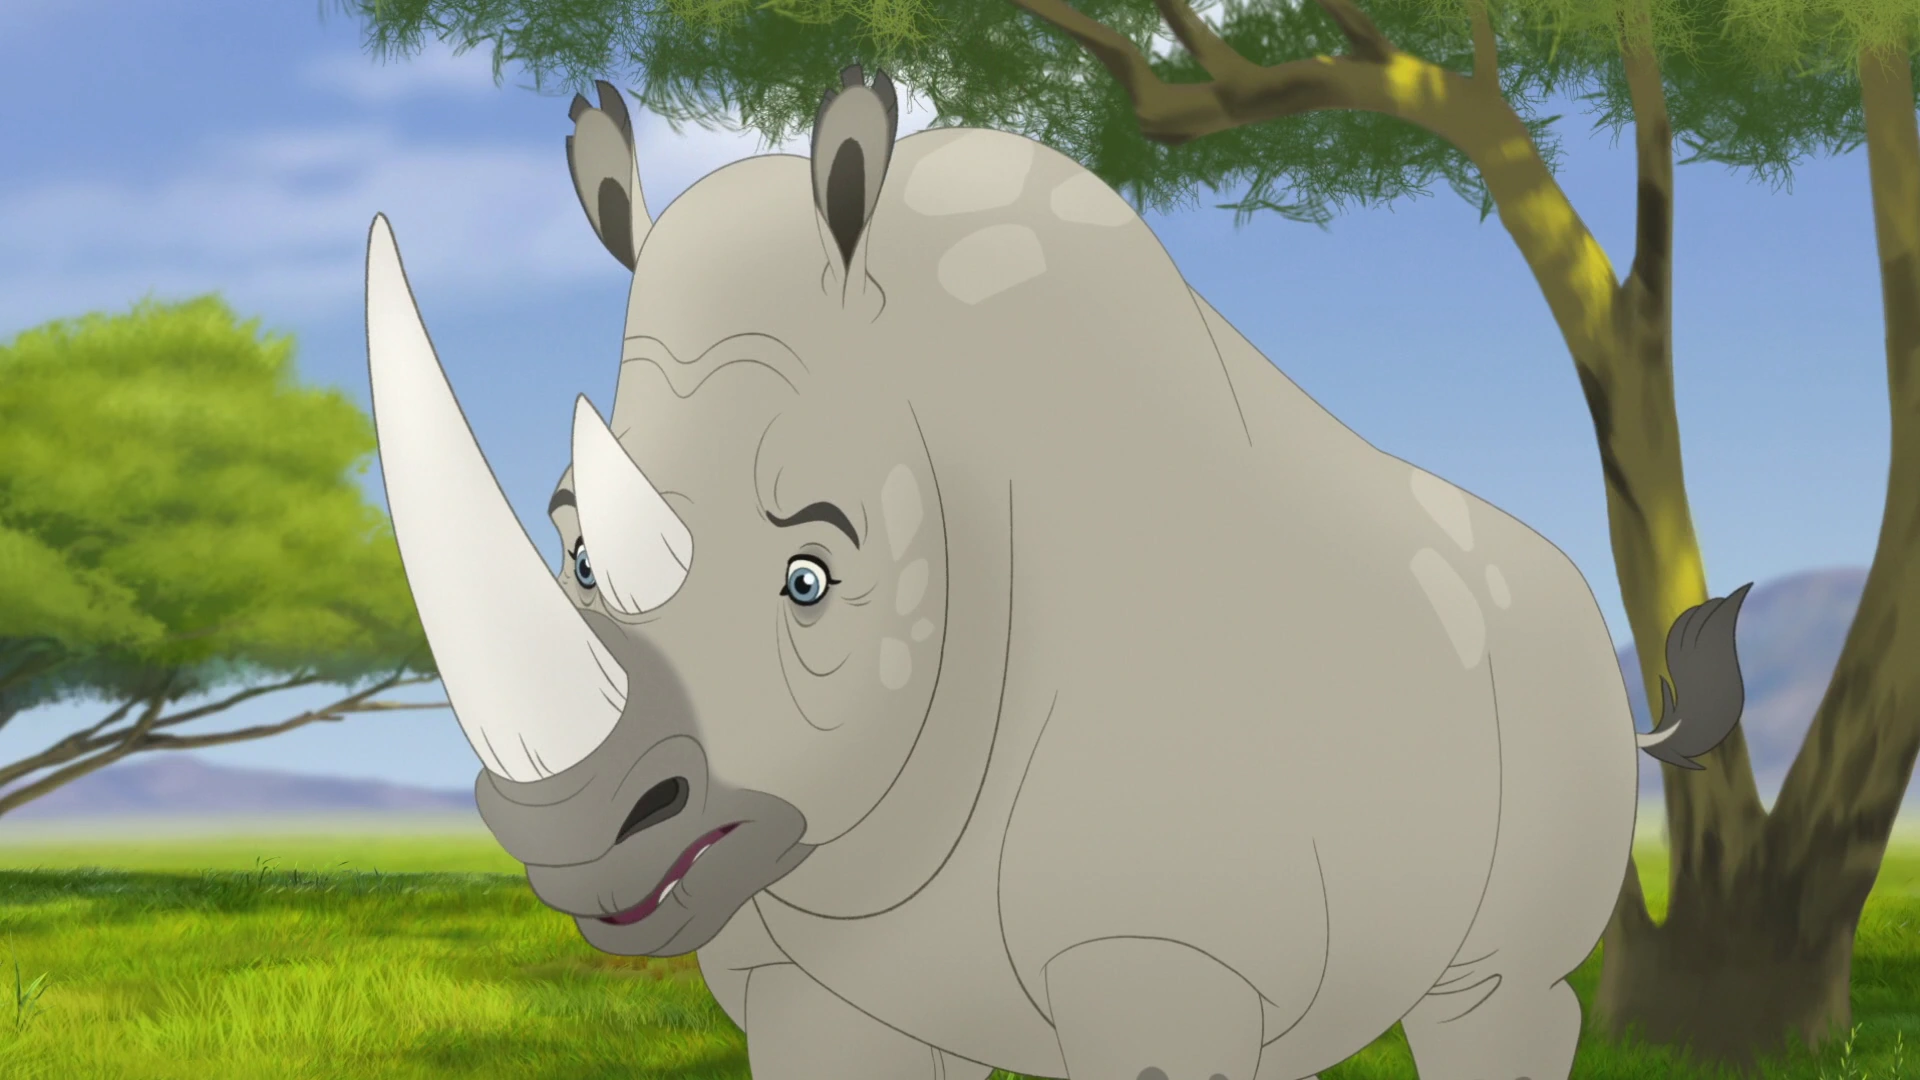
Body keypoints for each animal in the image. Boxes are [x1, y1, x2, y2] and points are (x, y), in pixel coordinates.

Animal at [364, 65, 1750, 1080]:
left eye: (810, 578)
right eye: (576, 552)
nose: (566, 826)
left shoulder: (1170, 947)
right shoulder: (815, 975)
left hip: (1553, 700)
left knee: (1502, 992)